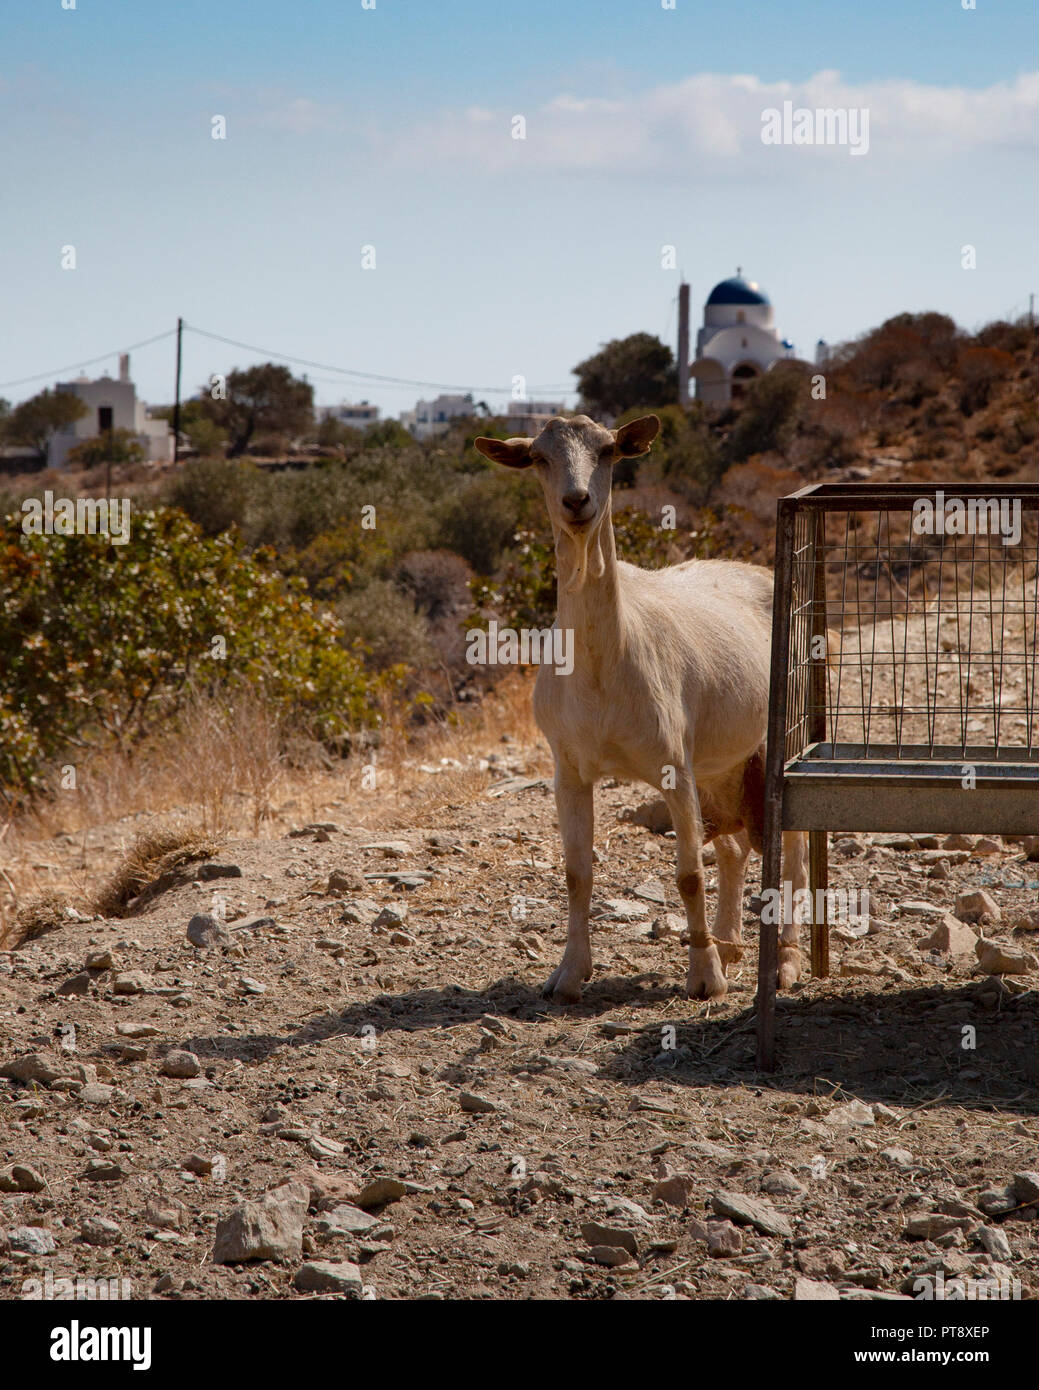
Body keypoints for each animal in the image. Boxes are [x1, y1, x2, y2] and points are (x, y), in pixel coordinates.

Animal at [474, 413, 808, 1003]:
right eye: (538, 457)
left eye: (608, 451)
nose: (577, 500)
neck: (604, 665)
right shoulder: (568, 766)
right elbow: (577, 874)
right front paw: (568, 974)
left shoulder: (673, 761)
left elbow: (688, 875)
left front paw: (704, 977)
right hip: (721, 759)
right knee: (733, 848)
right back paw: (729, 941)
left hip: (789, 724)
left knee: (793, 846)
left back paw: (785, 958)